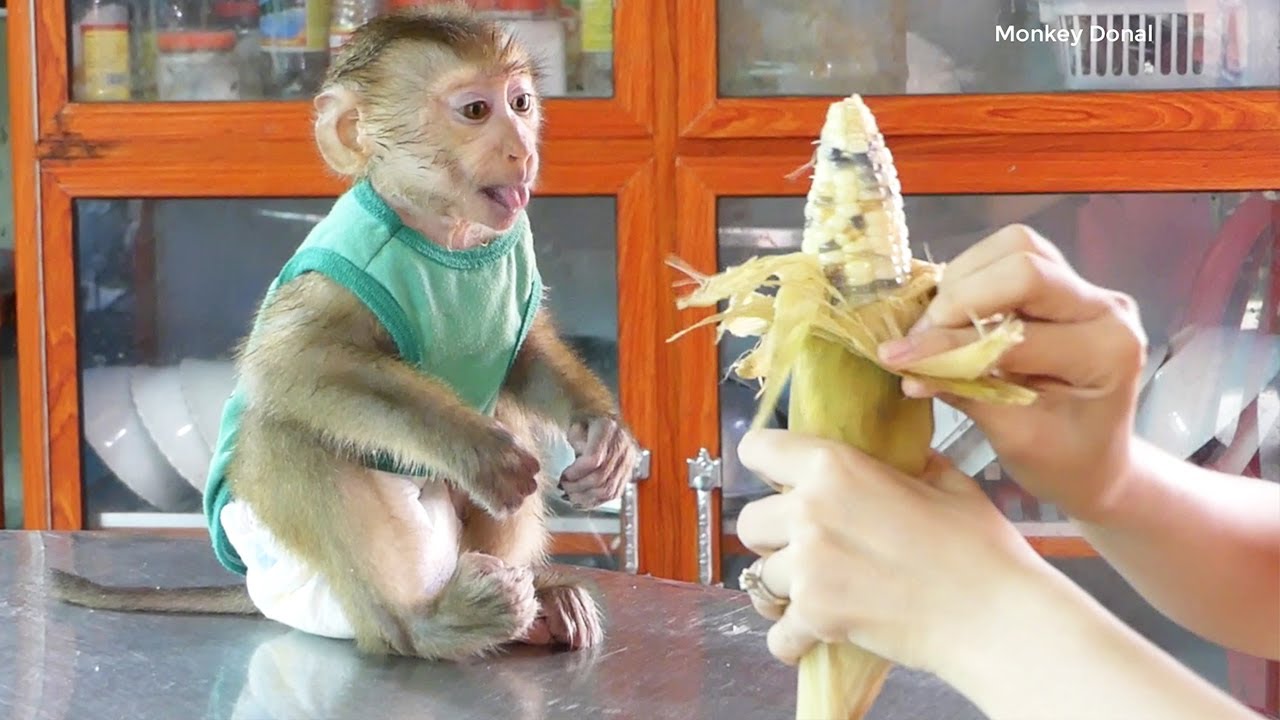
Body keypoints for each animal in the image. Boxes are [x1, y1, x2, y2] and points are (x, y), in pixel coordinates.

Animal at [49, 2, 640, 662]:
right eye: (475, 111)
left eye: (519, 103)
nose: (520, 149)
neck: (443, 233)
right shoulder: (343, 272)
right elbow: (289, 365)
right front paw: (474, 447)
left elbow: (525, 357)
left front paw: (601, 434)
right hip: (269, 544)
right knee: (289, 429)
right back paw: (420, 625)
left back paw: (539, 608)